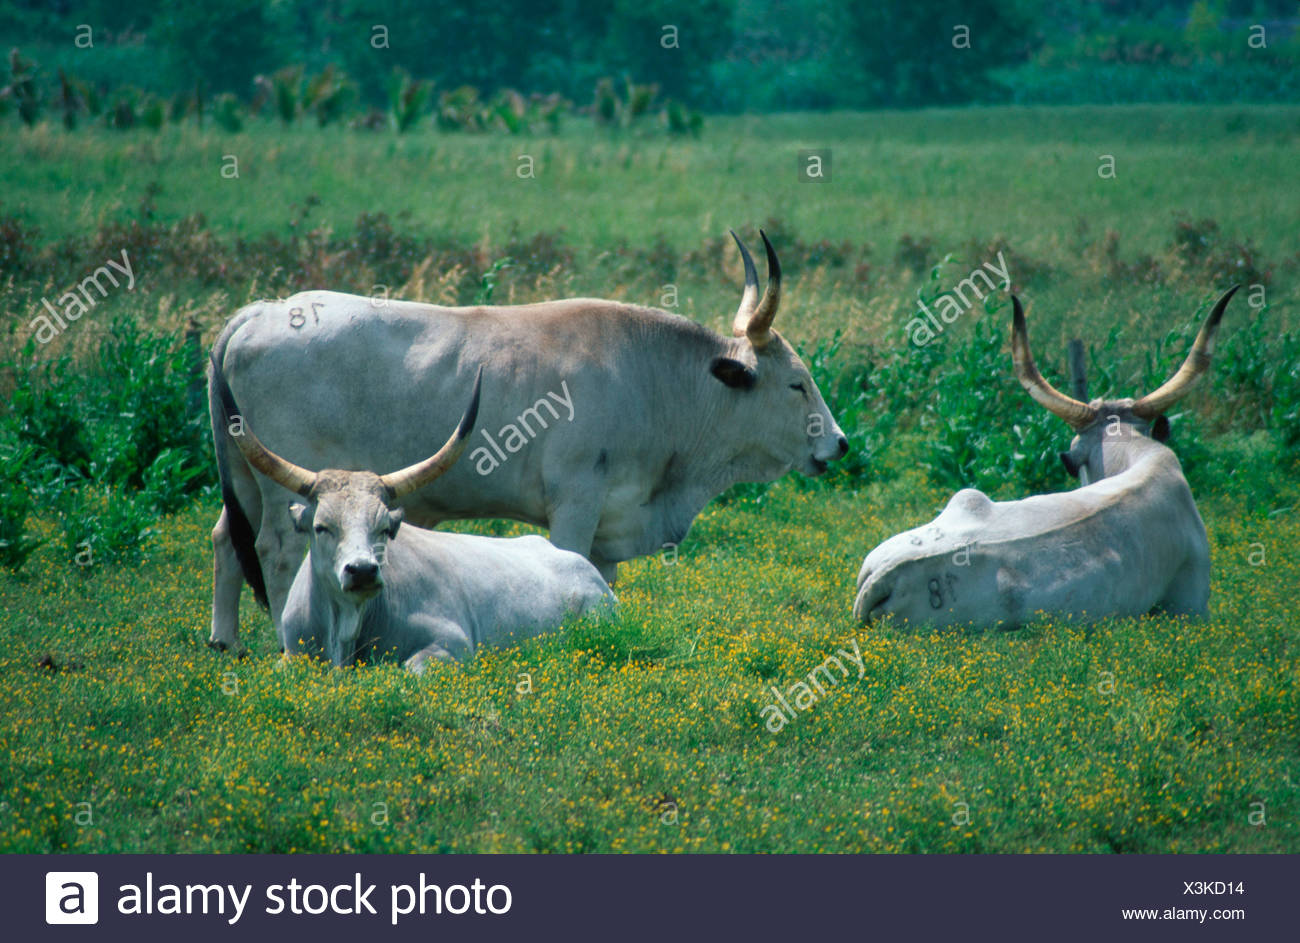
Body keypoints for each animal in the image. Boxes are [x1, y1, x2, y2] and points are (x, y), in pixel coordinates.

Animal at [213, 364, 615, 671]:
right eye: (321, 527)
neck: (346, 632)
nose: (362, 571)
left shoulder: (451, 645)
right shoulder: (291, 656)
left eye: (384, 529)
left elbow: (411, 669)